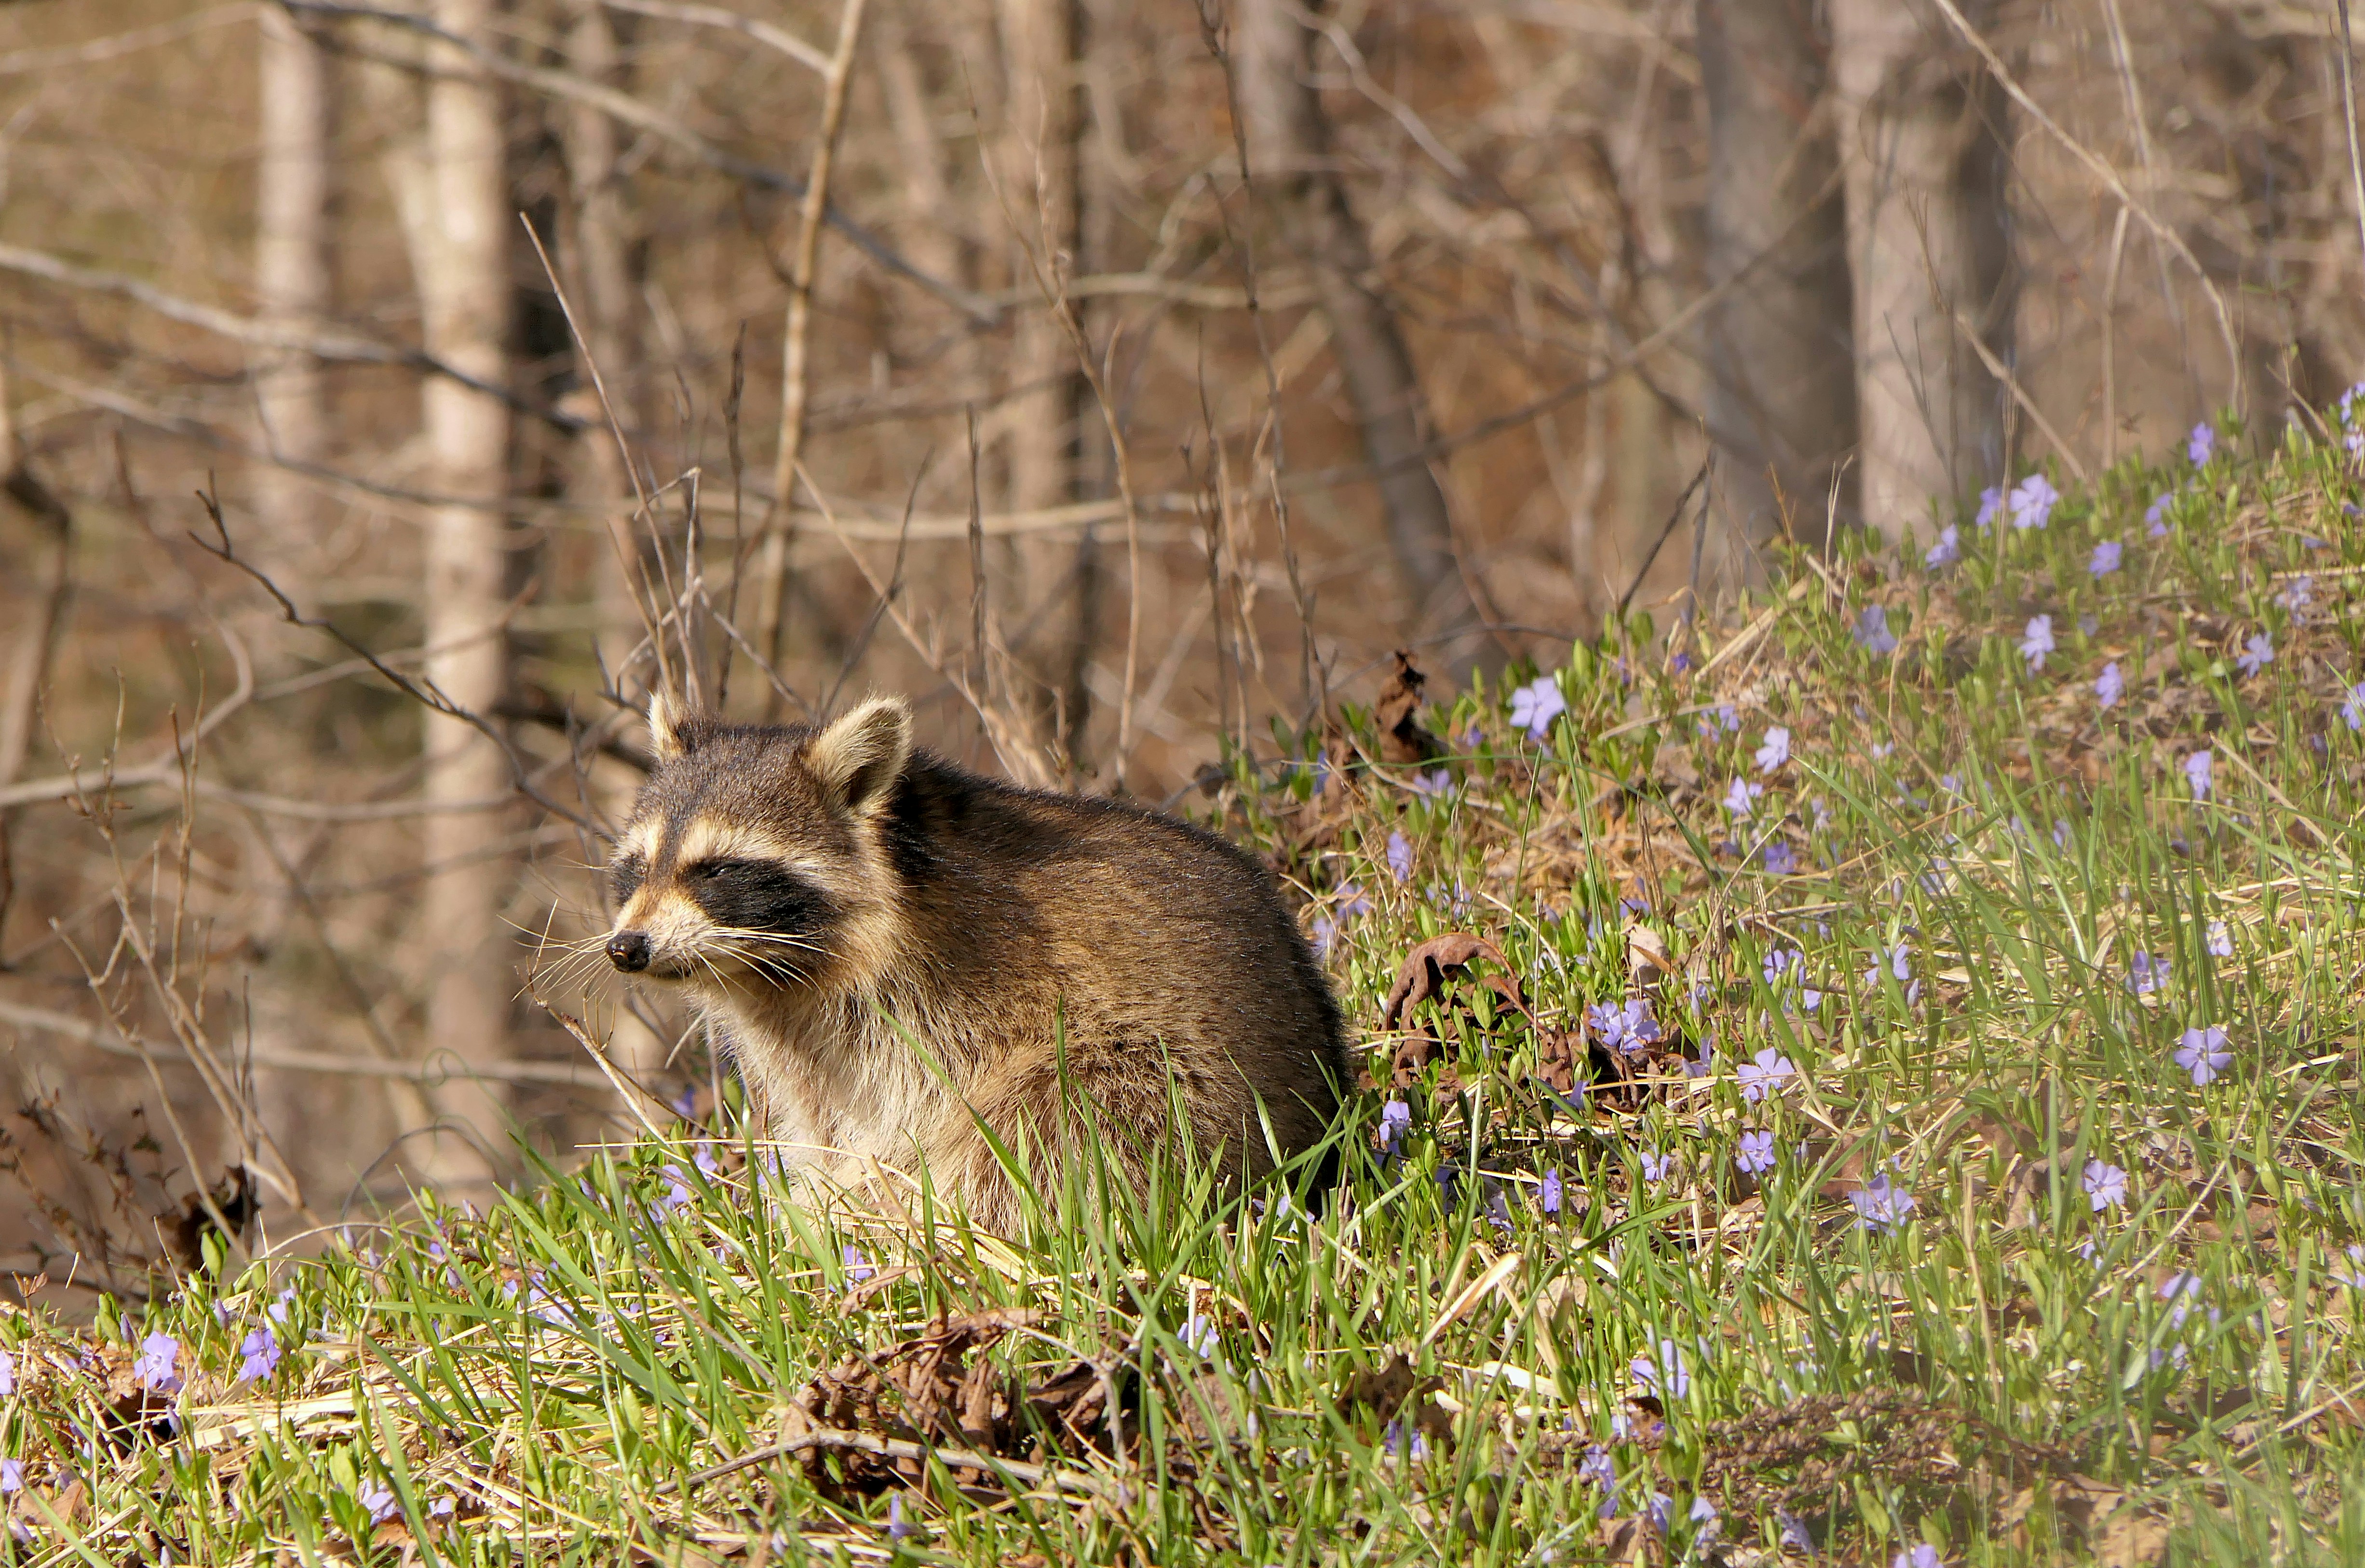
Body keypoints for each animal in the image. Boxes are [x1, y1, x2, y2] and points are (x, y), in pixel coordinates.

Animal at [603, 694, 1350, 1230]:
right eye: (638, 866)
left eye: (717, 870)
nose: (626, 948)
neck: (773, 972)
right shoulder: (802, 1043)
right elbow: (825, 1125)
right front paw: (822, 1204)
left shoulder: (933, 1006)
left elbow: (915, 1125)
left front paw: (860, 1208)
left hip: (1172, 1085)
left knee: (1046, 1130)